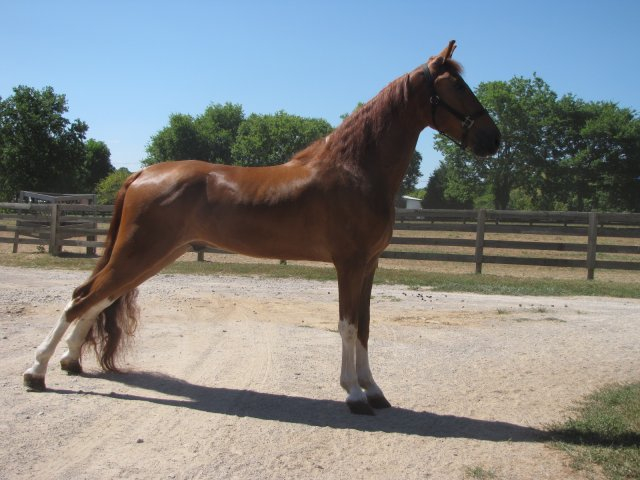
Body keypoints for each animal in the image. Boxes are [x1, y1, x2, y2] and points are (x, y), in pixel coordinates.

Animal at [23, 40, 500, 415]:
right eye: (457, 86)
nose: (493, 140)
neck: (356, 170)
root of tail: (141, 174)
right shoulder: (348, 265)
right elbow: (347, 326)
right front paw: (353, 395)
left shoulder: (369, 267)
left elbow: (364, 327)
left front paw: (374, 390)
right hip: (139, 253)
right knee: (81, 299)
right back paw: (36, 371)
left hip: (153, 255)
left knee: (96, 299)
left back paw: (70, 362)